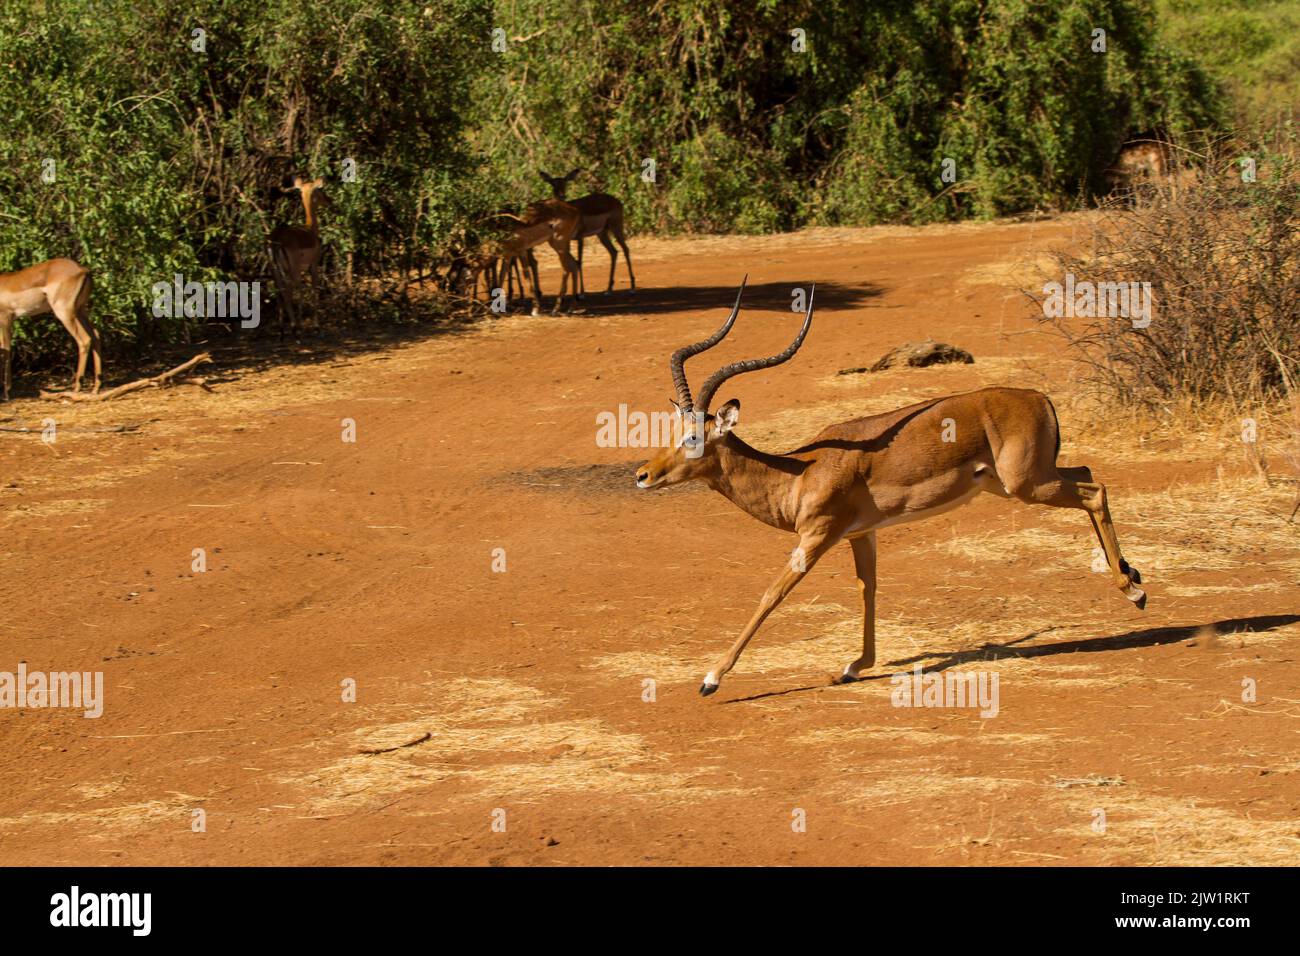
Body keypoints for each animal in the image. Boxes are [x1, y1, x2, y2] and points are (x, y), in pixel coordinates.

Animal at [0, 257, 102, 401]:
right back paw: (96, 388)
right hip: (80, 310)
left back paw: (76, 388)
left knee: (85, 339)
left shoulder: (6, 319)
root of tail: (83, 270)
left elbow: (6, 353)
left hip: (64, 313)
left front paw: (6, 393)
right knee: (96, 334)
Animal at [269, 174, 330, 330]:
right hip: (291, 271)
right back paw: (294, 325)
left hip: (276, 271)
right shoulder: (313, 265)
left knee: (279, 292)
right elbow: (314, 290)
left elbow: (302, 290)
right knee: (287, 293)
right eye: (319, 190)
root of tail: (276, 240)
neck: (310, 230)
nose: (329, 200)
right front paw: (315, 324)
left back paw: (281, 325)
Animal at [636, 281, 1146, 697]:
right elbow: (869, 587)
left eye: (693, 437)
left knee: (1096, 491)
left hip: (1027, 484)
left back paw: (1134, 592)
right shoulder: (862, 534)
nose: (643, 474)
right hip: (1019, 483)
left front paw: (710, 679)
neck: (799, 474)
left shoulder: (816, 536)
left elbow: (771, 595)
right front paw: (853, 667)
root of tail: (1040, 398)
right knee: (1088, 473)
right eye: (673, 429)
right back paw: (1132, 575)